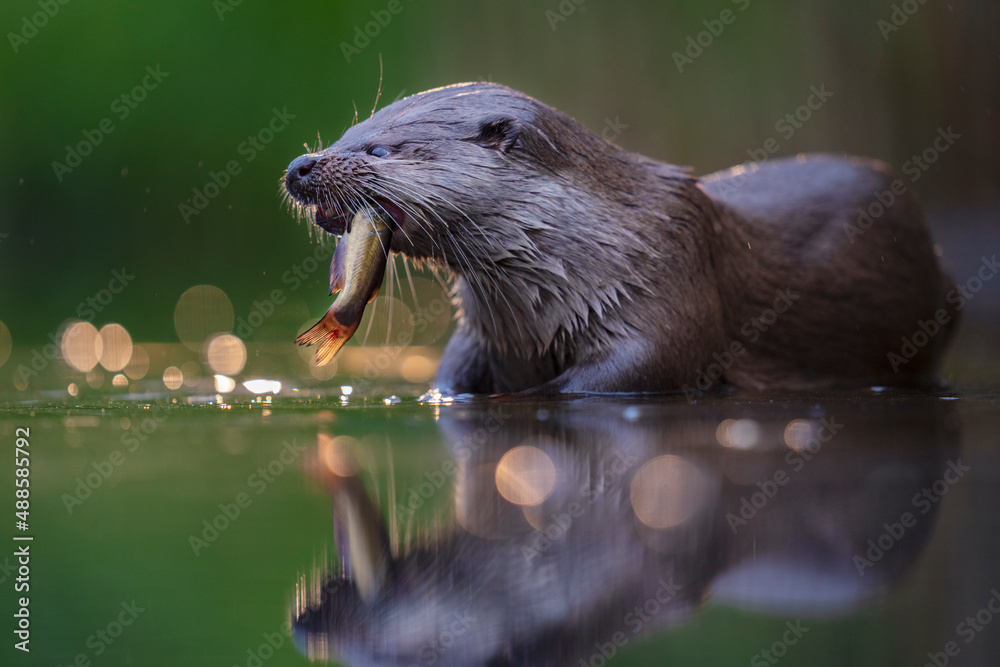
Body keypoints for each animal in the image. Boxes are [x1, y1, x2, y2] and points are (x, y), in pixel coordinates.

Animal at [283, 82, 956, 394]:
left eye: (379, 149)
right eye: (347, 132)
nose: (299, 166)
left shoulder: (666, 290)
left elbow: (635, 370)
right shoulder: (479, 338)